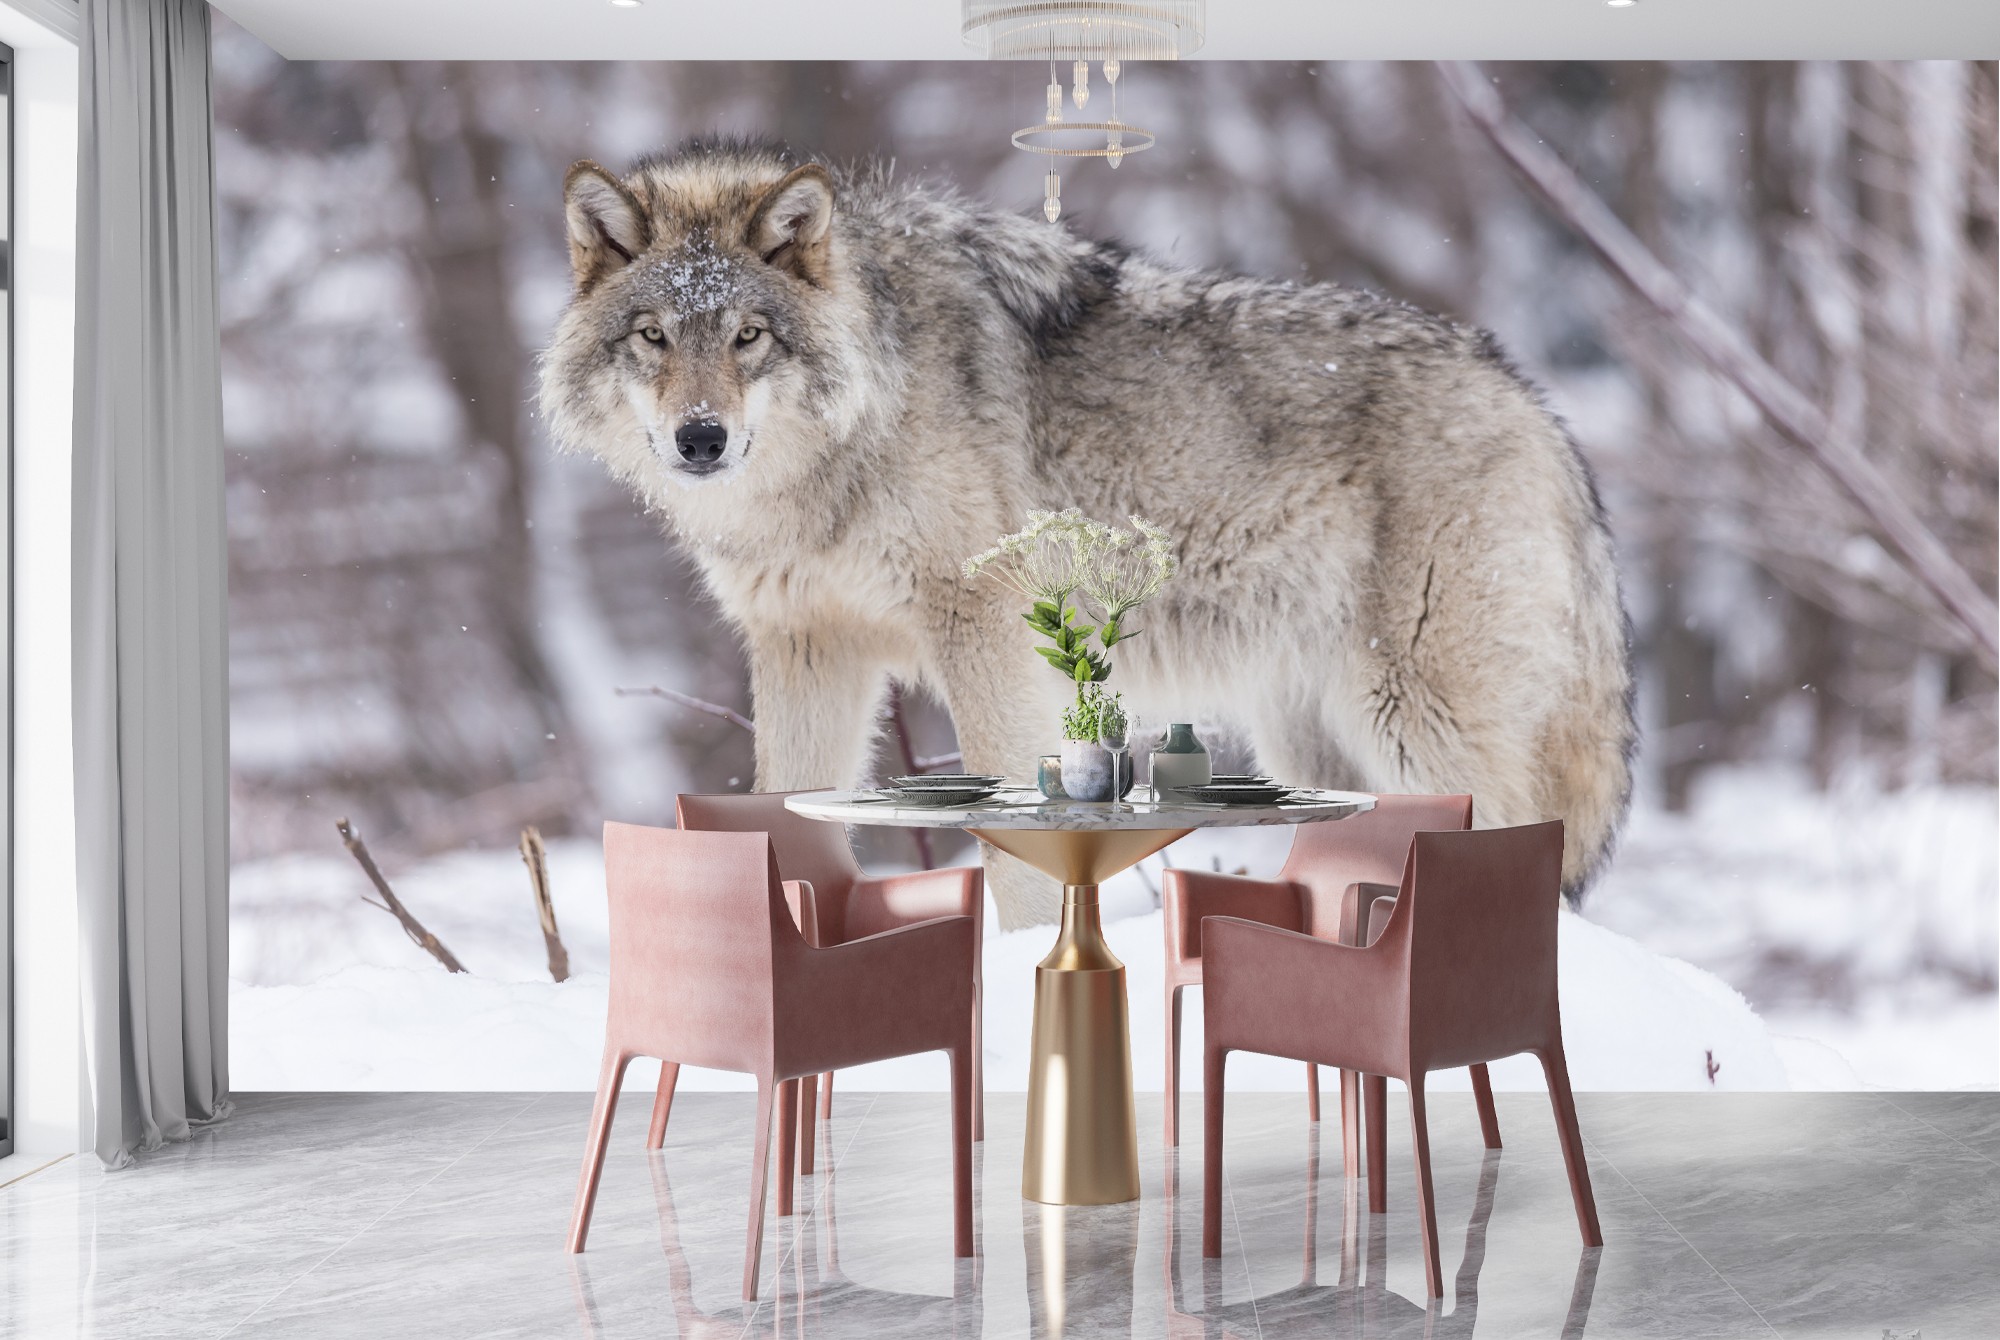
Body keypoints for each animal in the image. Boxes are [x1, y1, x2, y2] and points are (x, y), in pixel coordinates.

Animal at [539, 139, 1634, 928]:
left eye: (747, 337)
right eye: (654, 338)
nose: (701, 438)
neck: (833, 455)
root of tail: (1532, 400)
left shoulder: (982, 624)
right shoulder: (808, 645)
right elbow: (786, 803)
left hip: (1411, 721)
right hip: (1312, 740)